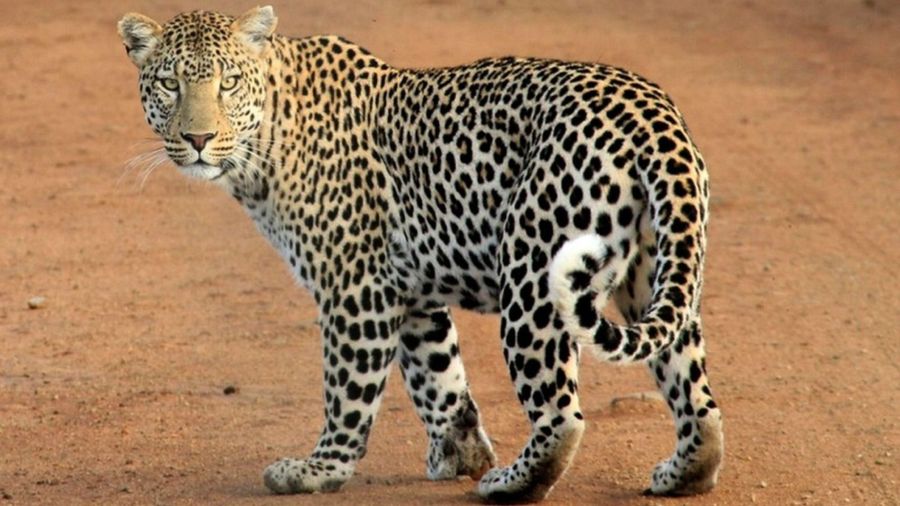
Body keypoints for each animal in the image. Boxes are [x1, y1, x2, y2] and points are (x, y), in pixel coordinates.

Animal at [118, 6, 724, 502]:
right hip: (656, 273)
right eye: (170, 84)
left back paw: (510, 483)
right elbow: (439, 378)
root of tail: (653, 115)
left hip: (533, 276)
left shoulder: (356, 287)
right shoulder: (409, 291)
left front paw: (320, 469)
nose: (198, 139)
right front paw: (460, 452)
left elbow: (348, 389)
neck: (267, 138)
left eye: (228, 84)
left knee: (561, 415)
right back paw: (683, 474)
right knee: (695, 394)